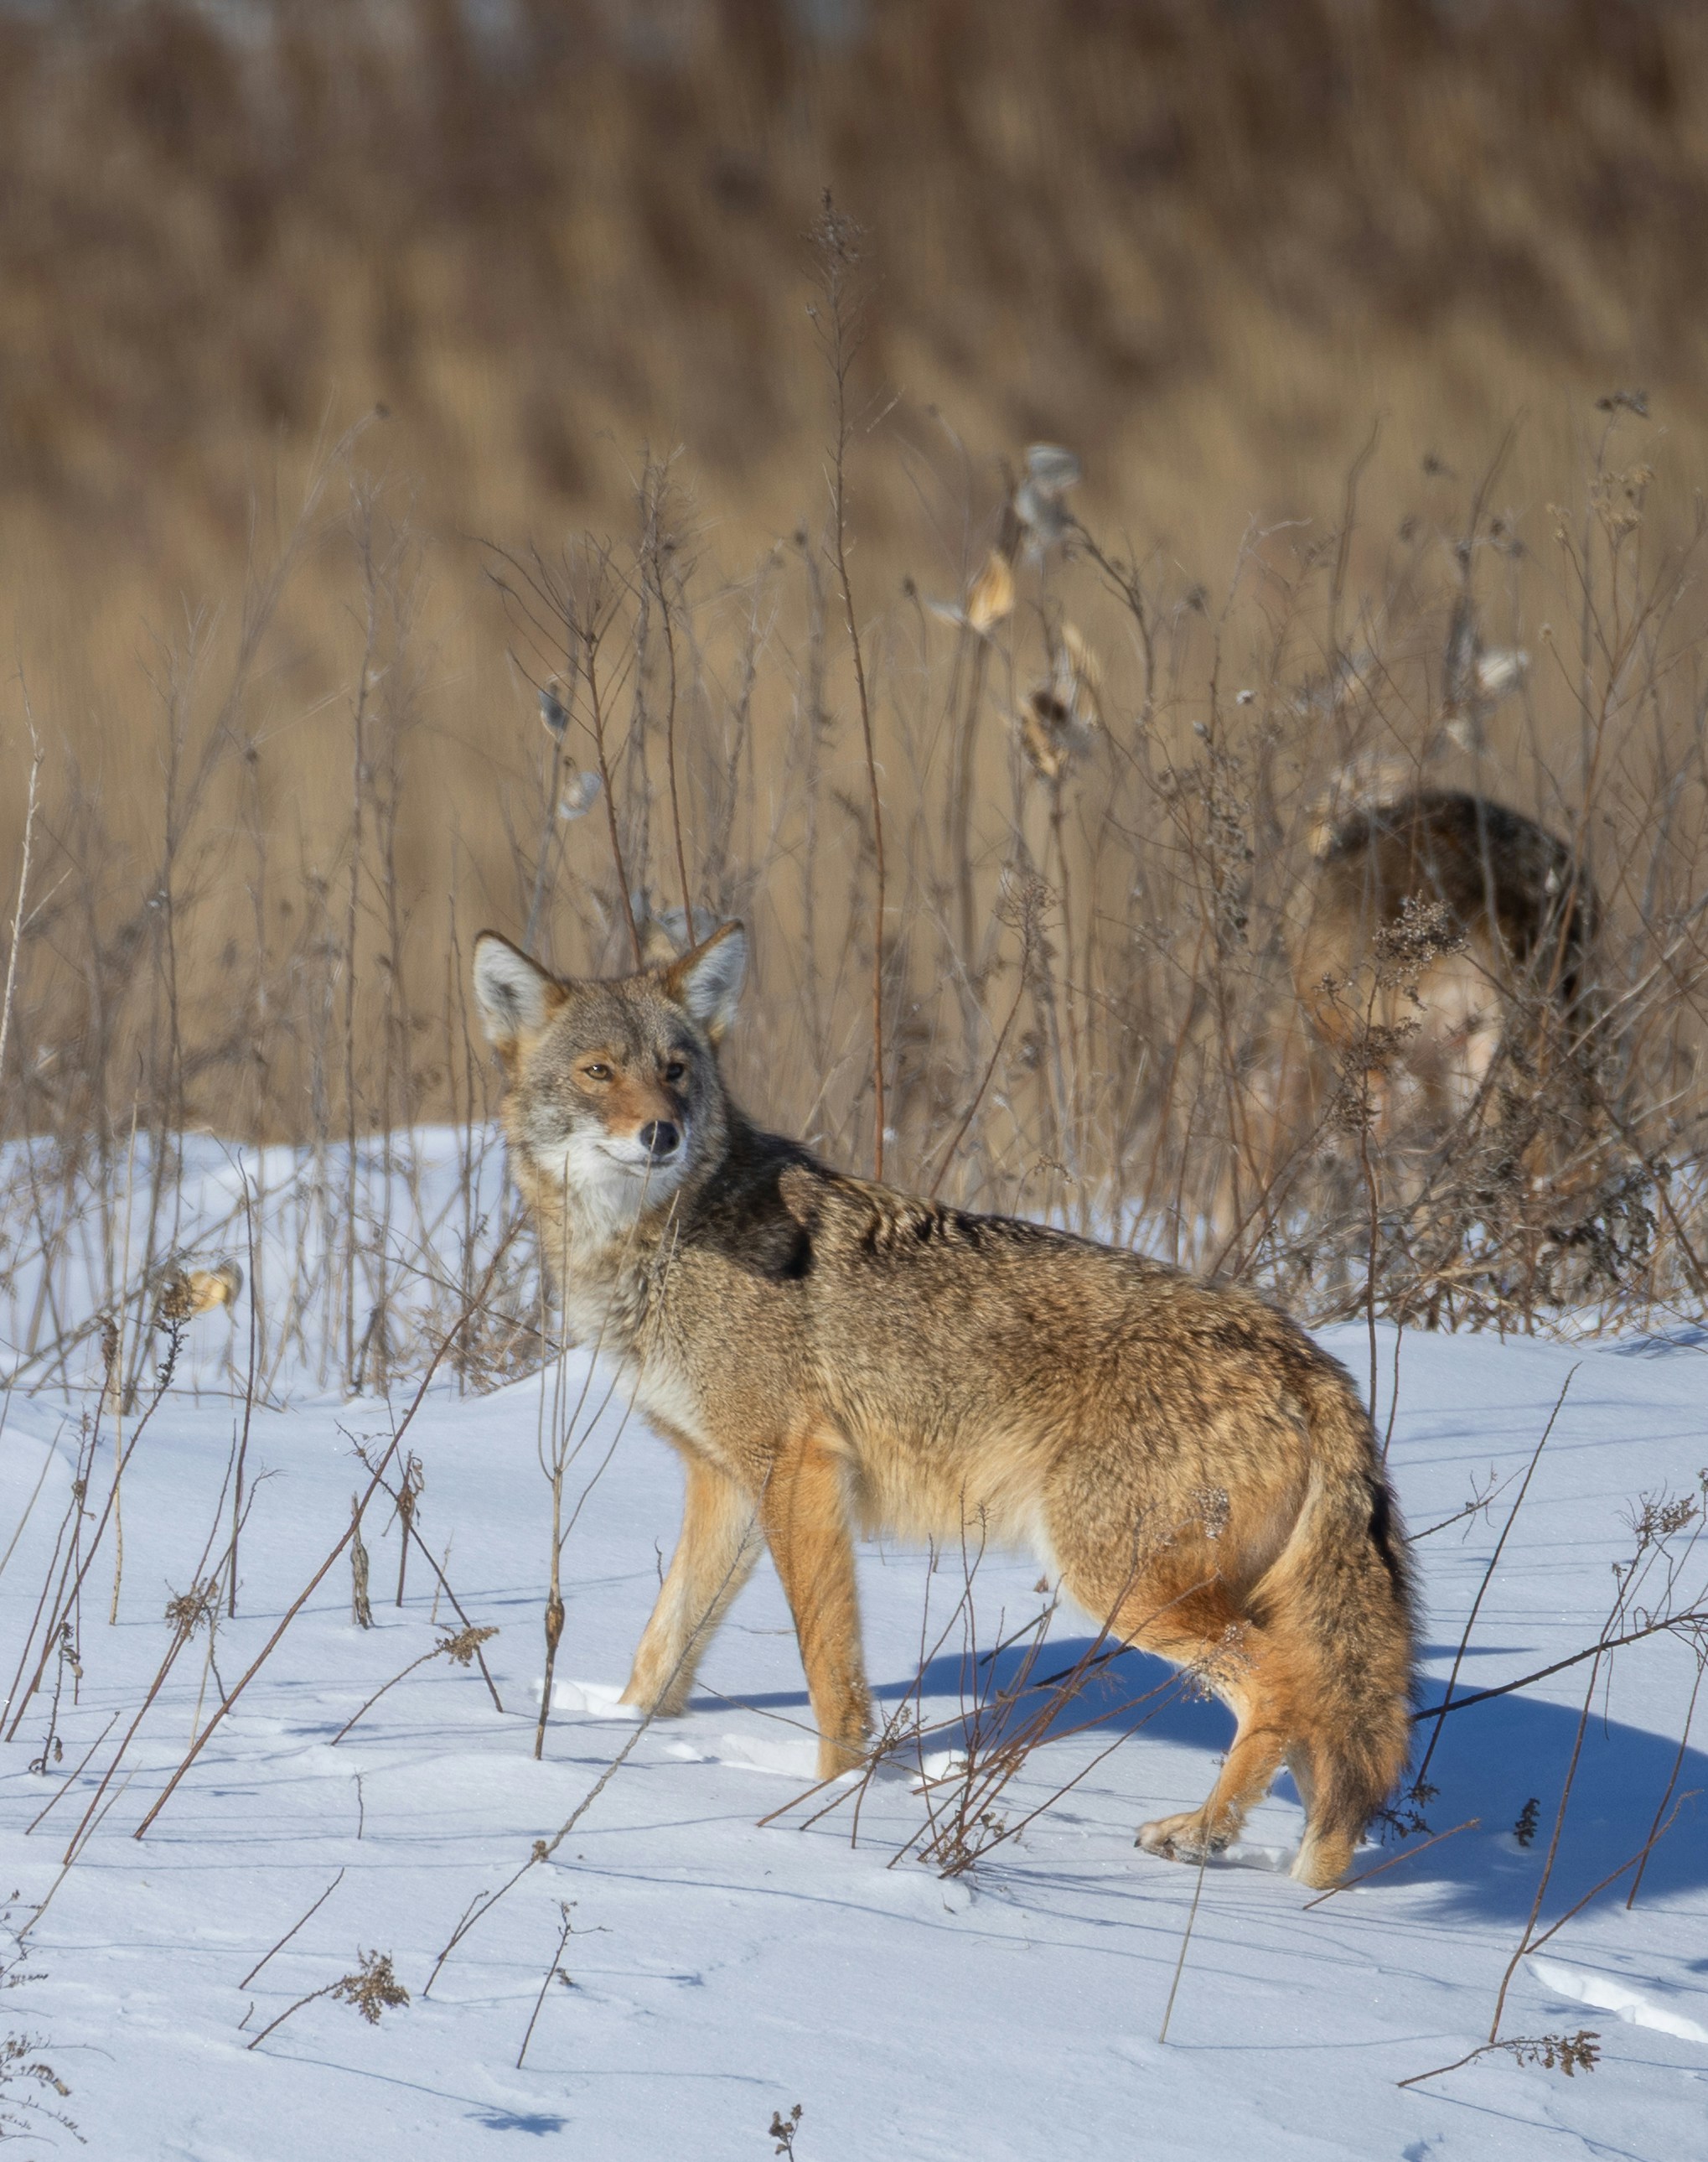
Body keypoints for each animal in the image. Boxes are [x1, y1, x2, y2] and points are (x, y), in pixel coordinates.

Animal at [472, 922, 1416, 1888]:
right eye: (598, 1071)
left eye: (674, 1069)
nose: (661, 1131)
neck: (661, 1243)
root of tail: (1312, 1362)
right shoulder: (727, 1482)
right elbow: (661, 1652)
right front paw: (625, 1740)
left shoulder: (797, 1472)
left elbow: (830, 1672)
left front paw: (833, 1799)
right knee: (1336, 1738)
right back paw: (1311, 1877)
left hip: (1117, 1584)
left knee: (1281, 1688)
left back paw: (1205, 1834)